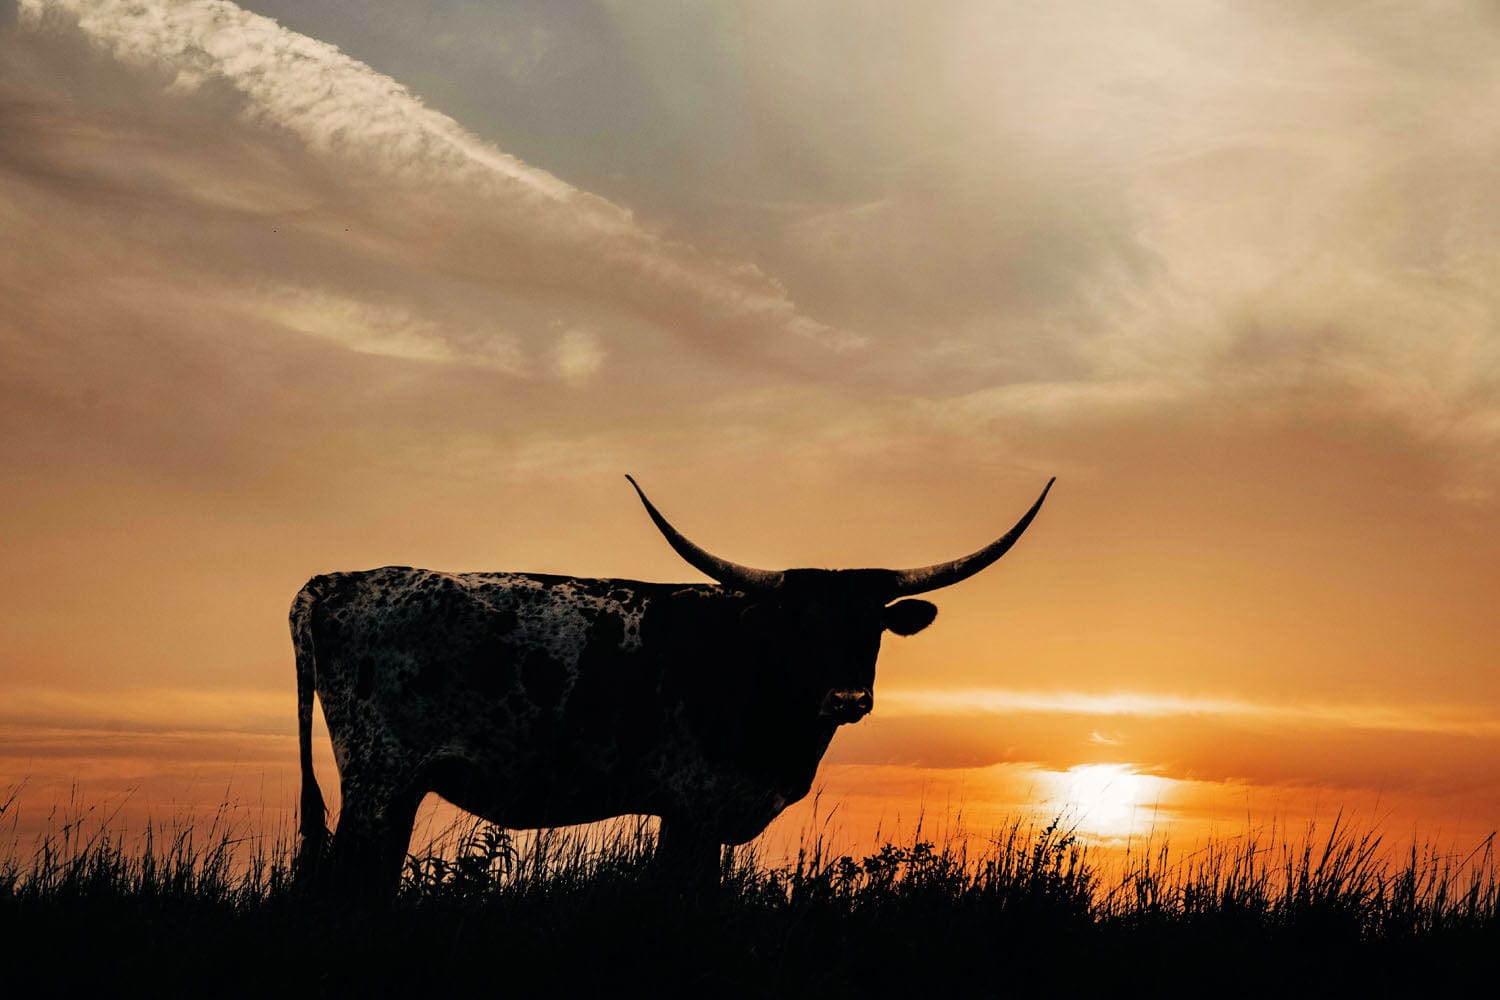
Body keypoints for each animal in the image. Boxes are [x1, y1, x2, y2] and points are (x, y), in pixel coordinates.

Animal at [292, 475, 1053, 894]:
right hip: (378, 779)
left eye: (871, 628)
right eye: (800, 624)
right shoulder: (694, 808)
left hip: (396, 789)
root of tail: (334, 582)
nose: (846, 698)